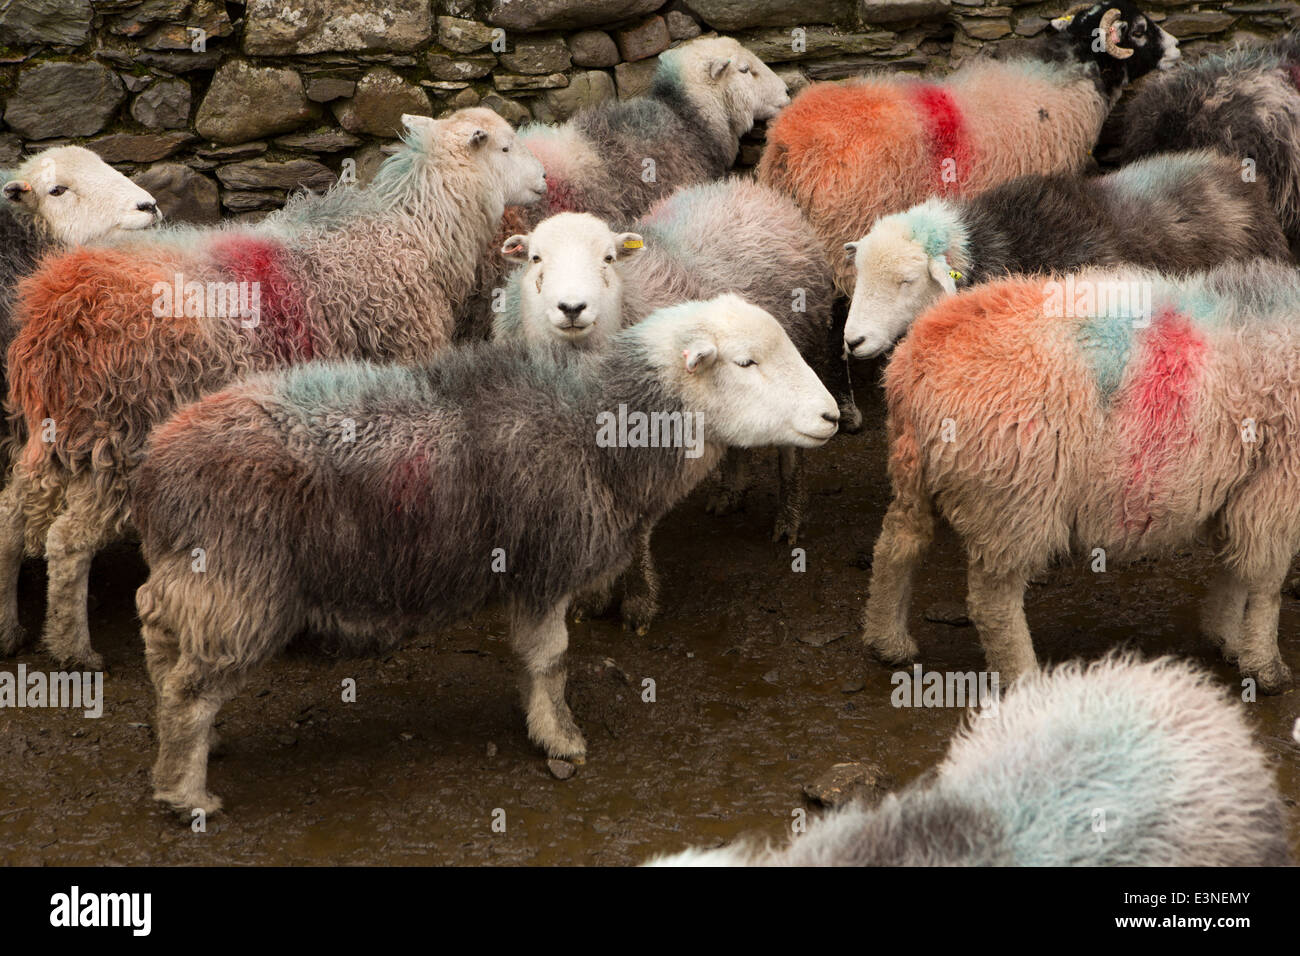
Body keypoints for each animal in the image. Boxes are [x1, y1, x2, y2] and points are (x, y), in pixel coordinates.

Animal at [0, 108, 547, 669]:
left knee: (9, 517)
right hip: (118, 439)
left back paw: (9, 629)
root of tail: (58, 307)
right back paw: (74, 650)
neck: (414, 233)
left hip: (56, 435)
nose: (545, 179)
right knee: (66, 541)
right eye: (505, 147)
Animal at [129, 293, 840, 814]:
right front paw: (562, 738)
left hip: (194, 582)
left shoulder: (530, 573)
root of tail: (157, 465)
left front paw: (537, 719)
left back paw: (192, 745)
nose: (833, 417)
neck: (601, 422)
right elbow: (551, 661)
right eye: (745, 364)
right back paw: (185, 793)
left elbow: (533, 661)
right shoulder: (548, 566)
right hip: (237, 588)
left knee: (161, 647)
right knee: (190, 689)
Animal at [491, 183, 854, 628]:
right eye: (536, 258)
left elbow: (638, 528)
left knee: (791, 453)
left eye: (608, 258)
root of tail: (746, 188)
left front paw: (637, 603)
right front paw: (592, 599)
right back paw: (730, 491)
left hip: (800, 353)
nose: (572, 308)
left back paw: (788, 519)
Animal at [862, 260, 1300, 694]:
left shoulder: (1246, 488)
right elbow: (1265, 583)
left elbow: (1235, 570)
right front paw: (1265, 666)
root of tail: (918, 360)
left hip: (914, 472)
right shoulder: (1276, 487)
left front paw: (1226, 636)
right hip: (1012, 499)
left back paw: (888, 640)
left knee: (896, 547)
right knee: (993, 602)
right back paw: (1023, 676)